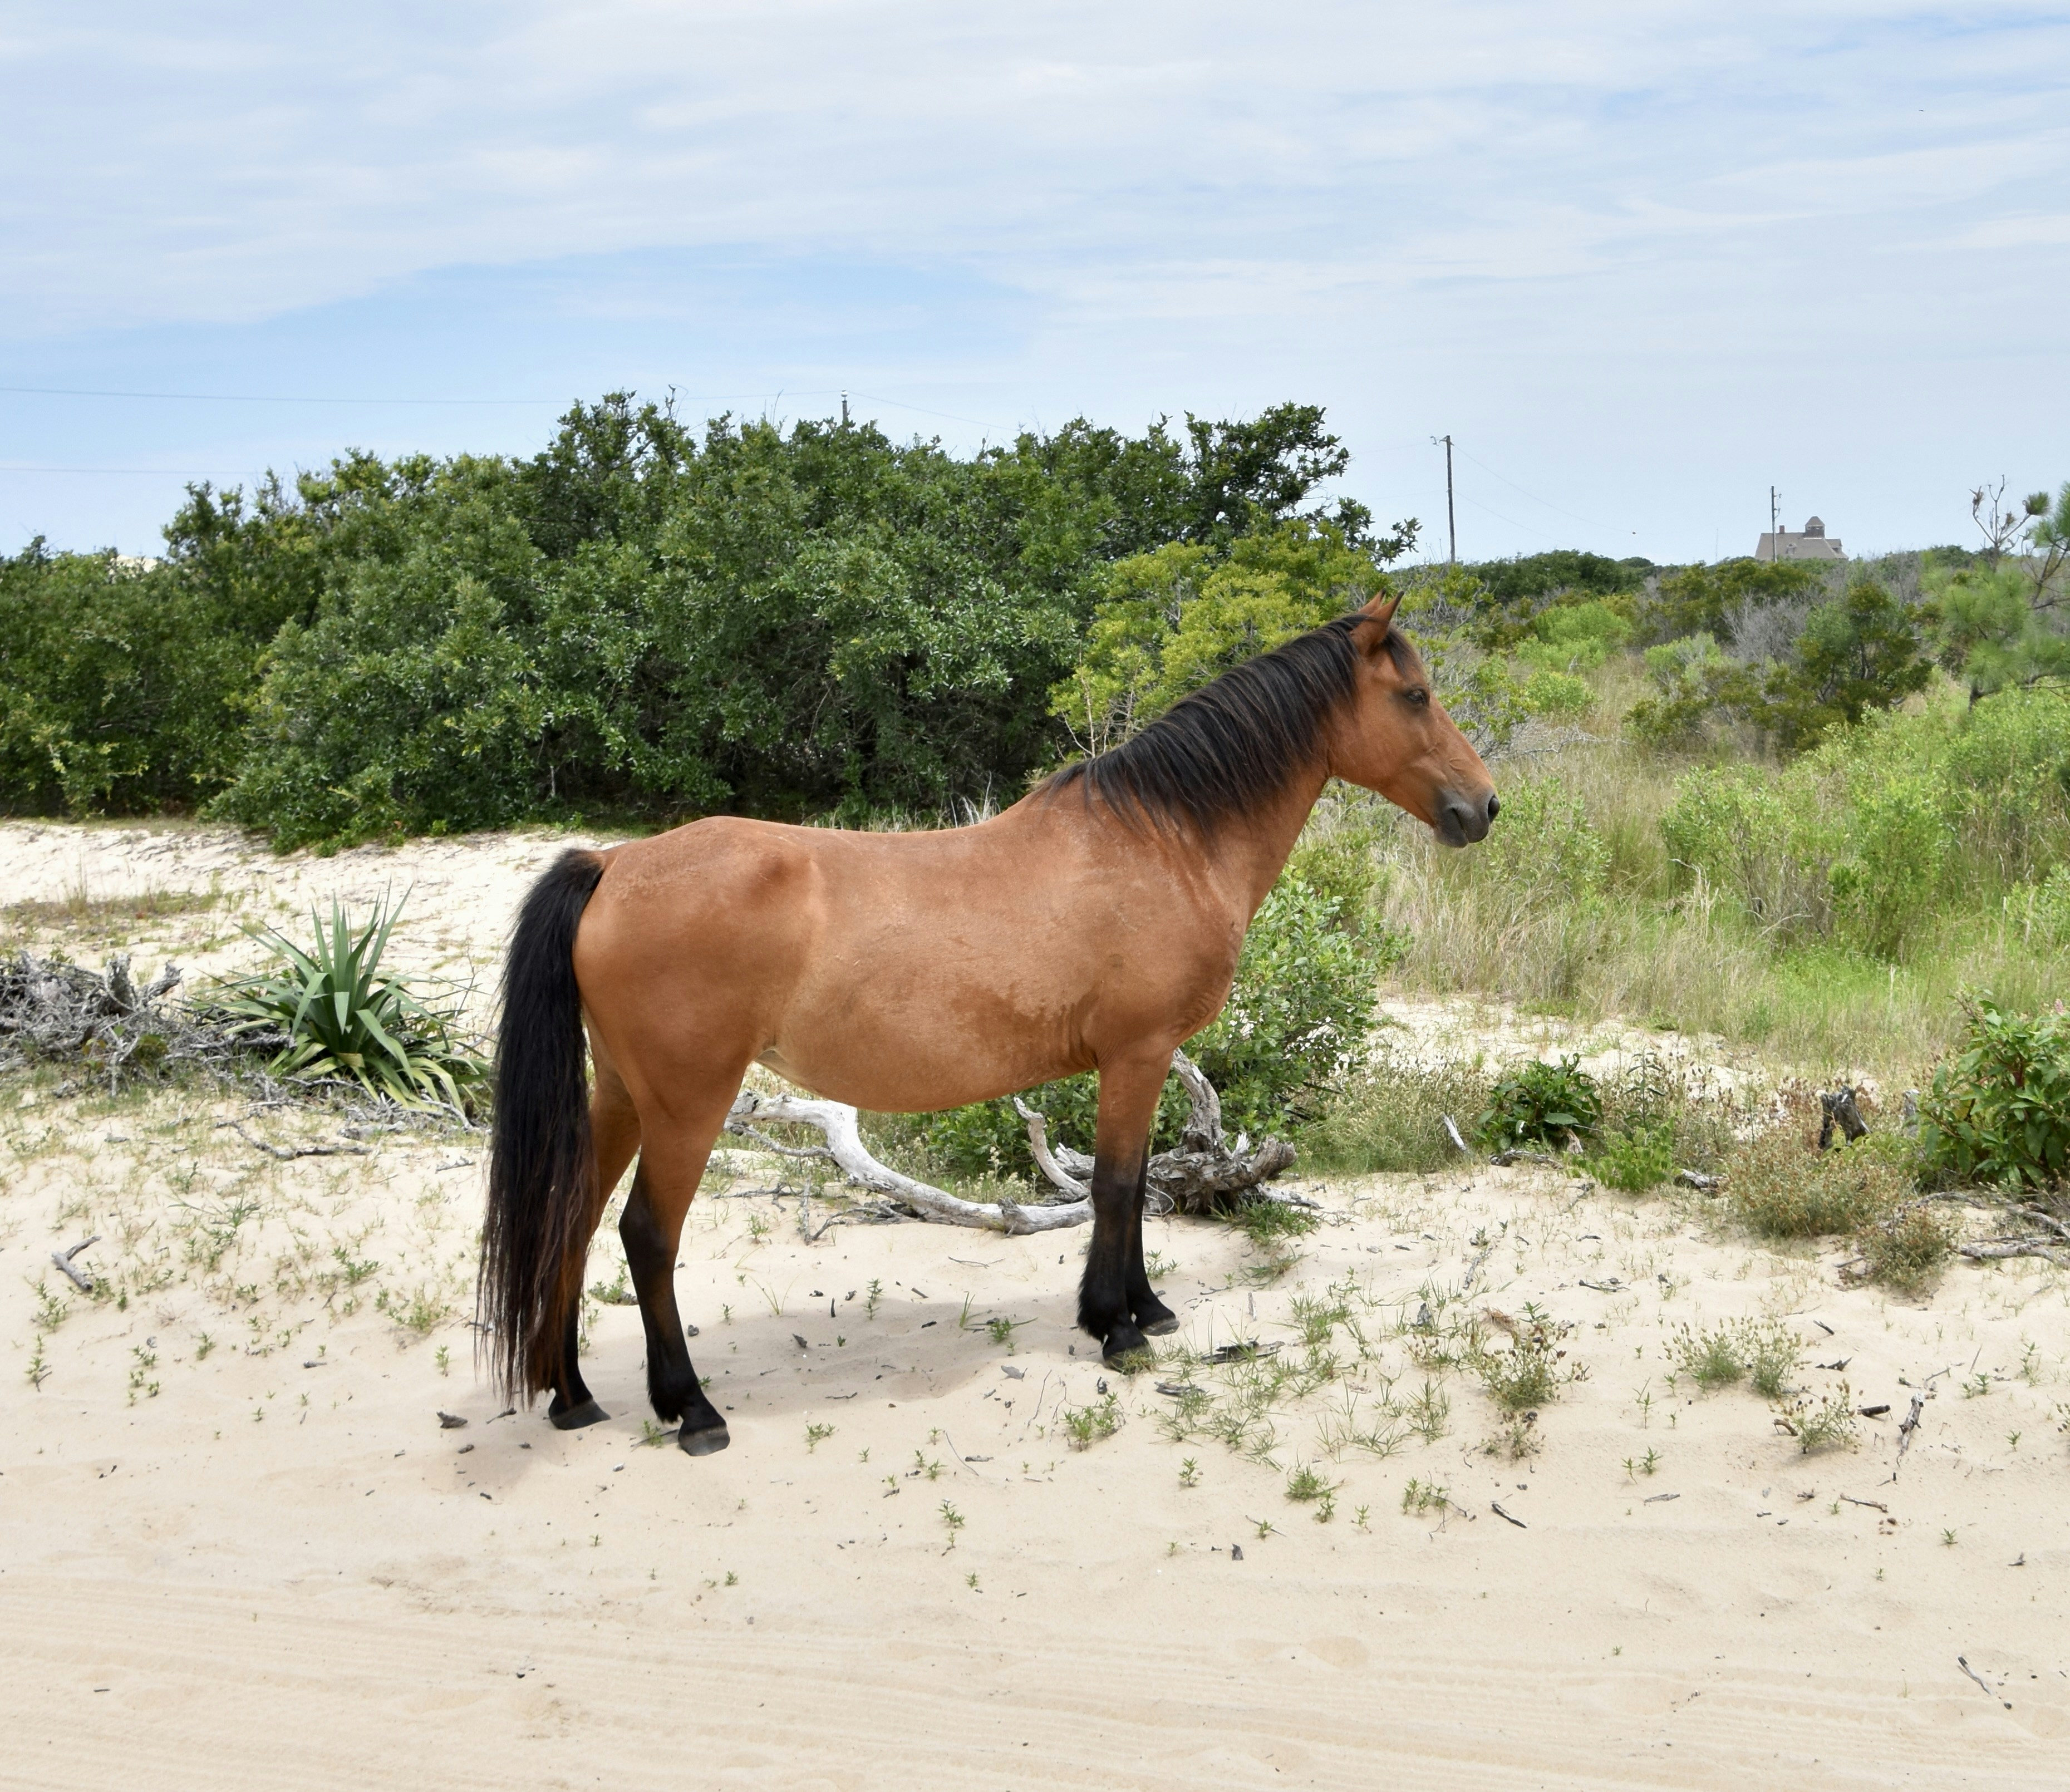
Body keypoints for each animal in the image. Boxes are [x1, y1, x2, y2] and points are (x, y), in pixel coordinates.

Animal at [478, 591, 1497, 1454]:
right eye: (1414, 695)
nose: (1481, 806)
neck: (1162, 839)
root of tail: (613, 864)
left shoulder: (1136, 1062)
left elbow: (1128, 1186)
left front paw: (1144, 1310)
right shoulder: (1137, 1055)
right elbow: (1118, 1187)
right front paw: (1116, 1328)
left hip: (620, 1094)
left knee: (571, 1219)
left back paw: (572, 1396)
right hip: (687, 1106)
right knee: (646, 1237)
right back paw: (689, 1409)